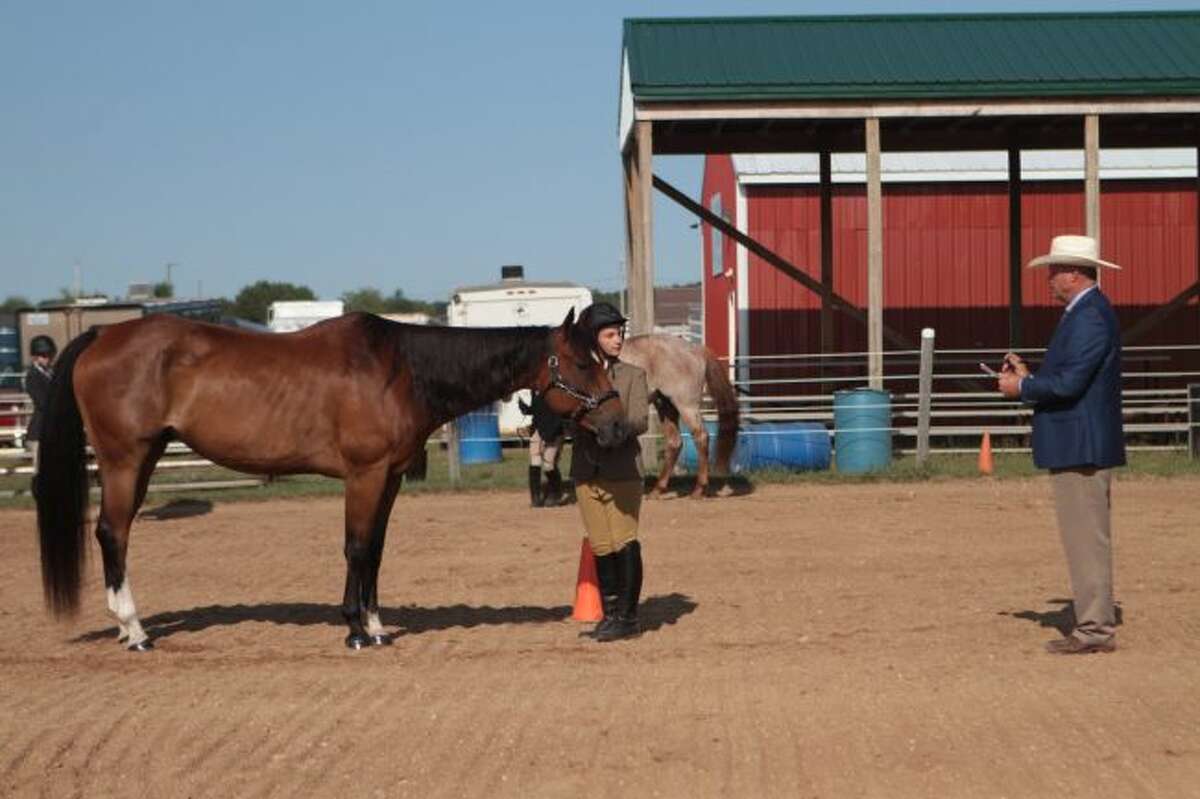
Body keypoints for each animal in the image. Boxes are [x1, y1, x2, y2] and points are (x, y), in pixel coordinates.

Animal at [35, 309, 624, 651]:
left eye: (602, 357)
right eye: (580, 362)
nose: (618, 424)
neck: (399, 369)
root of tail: (103, 333)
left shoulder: (389, 478)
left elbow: (375, 550)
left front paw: (377, 625)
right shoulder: (363, 476)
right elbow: (356, 546)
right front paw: (356, 630)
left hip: (144, 457)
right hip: (123, 460)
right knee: (112, 534)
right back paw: (134, 630)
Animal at [619, 334, 738, 498]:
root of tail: (696, 349)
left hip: (685, 405)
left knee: (701, 436)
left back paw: (699, 489)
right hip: (665, 405)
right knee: (674, 442)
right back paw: (658, 489)